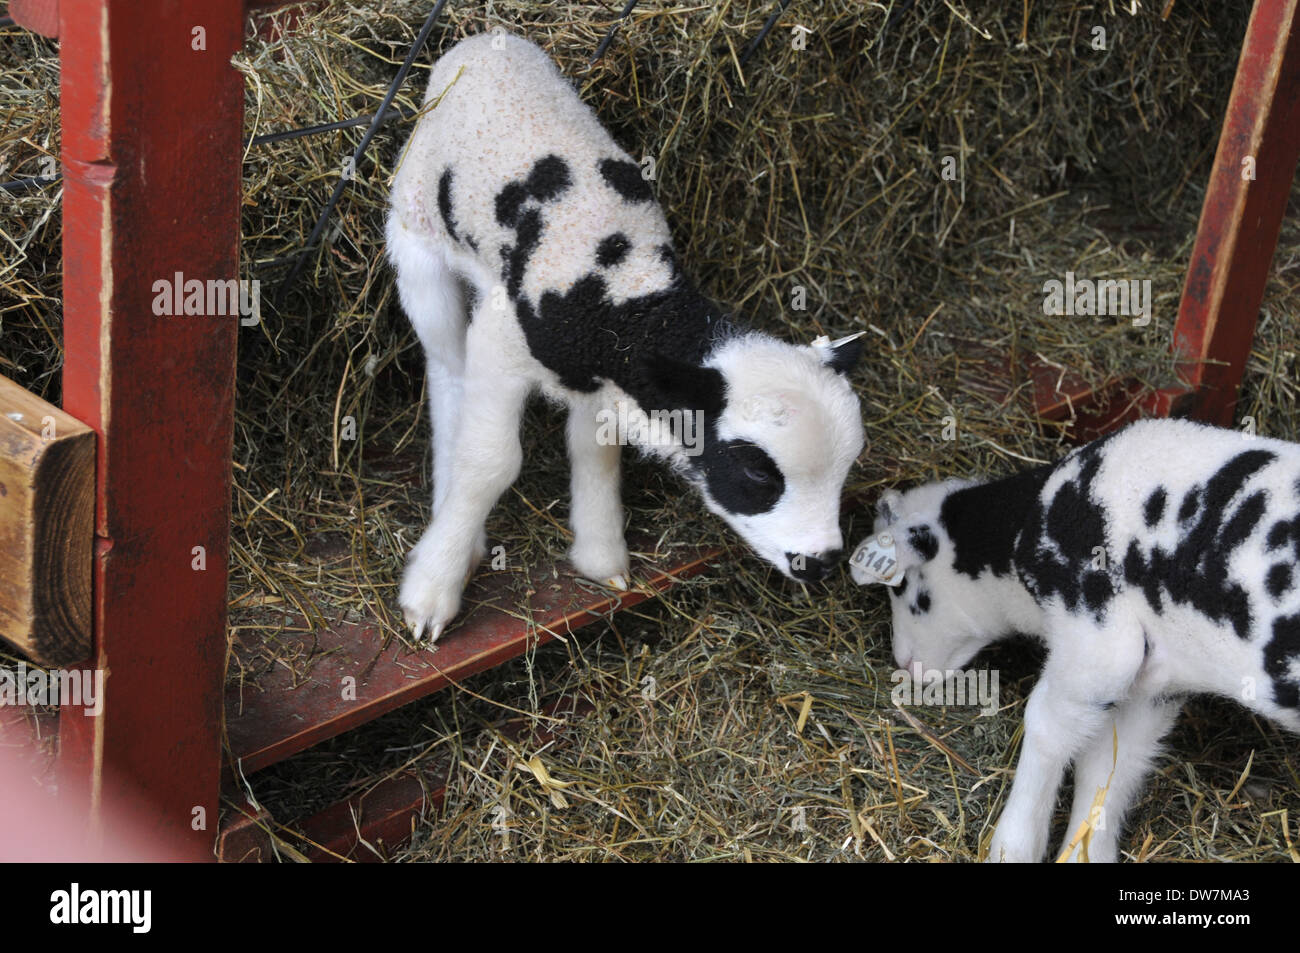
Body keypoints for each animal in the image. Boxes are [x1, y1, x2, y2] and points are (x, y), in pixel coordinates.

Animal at [387, 32, 865, 643]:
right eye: (757, 470)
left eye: (847, 469)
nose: (822, 563)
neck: (628, 298)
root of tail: (481, 39)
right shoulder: (502, 340)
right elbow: (490, 461)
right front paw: (432, 590)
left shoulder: (606, 379)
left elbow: (594, 449)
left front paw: (600, 557)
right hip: (415, 229)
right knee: (446, 369)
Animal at [850, 417, 1300, 862]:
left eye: (901, 584)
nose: (904, 663)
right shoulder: (1154, 682)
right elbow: (1110, 764)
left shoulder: (1099, 644)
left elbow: (1045, 729)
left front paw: (1012, 847)